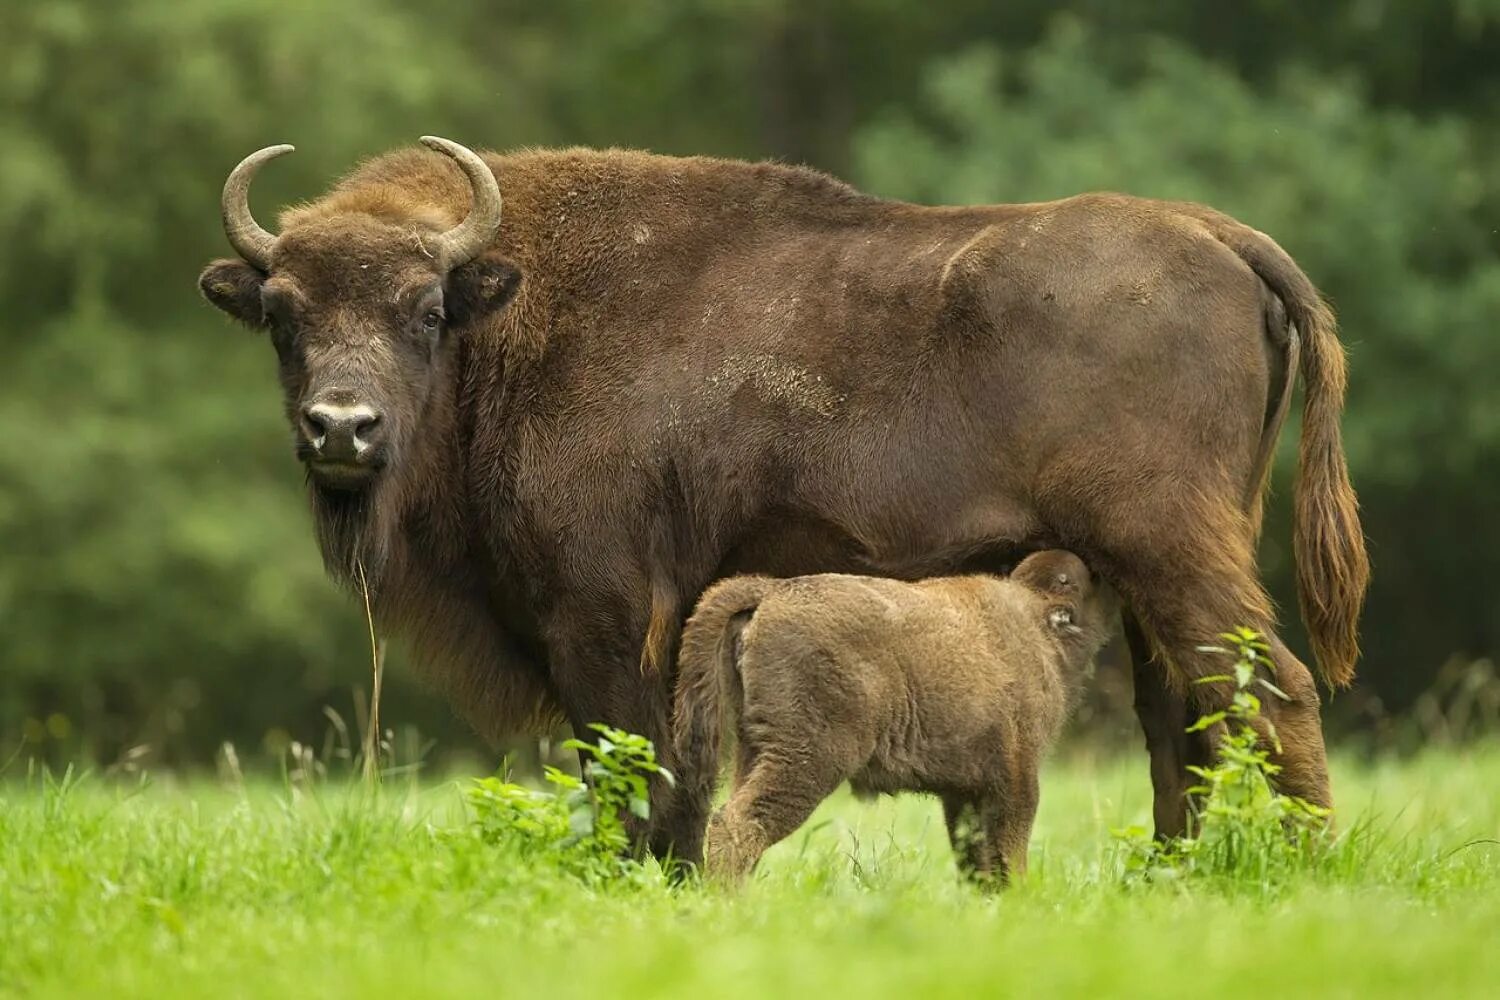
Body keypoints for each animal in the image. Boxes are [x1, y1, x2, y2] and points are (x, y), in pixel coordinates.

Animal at [675, 551, 1122, 887]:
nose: (1111, 584)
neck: (1038, 621)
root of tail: (773, 590)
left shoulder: (963, 792)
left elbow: (974, 855)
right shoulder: (1017, 777)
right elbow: (1009, 848)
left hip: (753, 750)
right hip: (807, 758)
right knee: (738, 823)